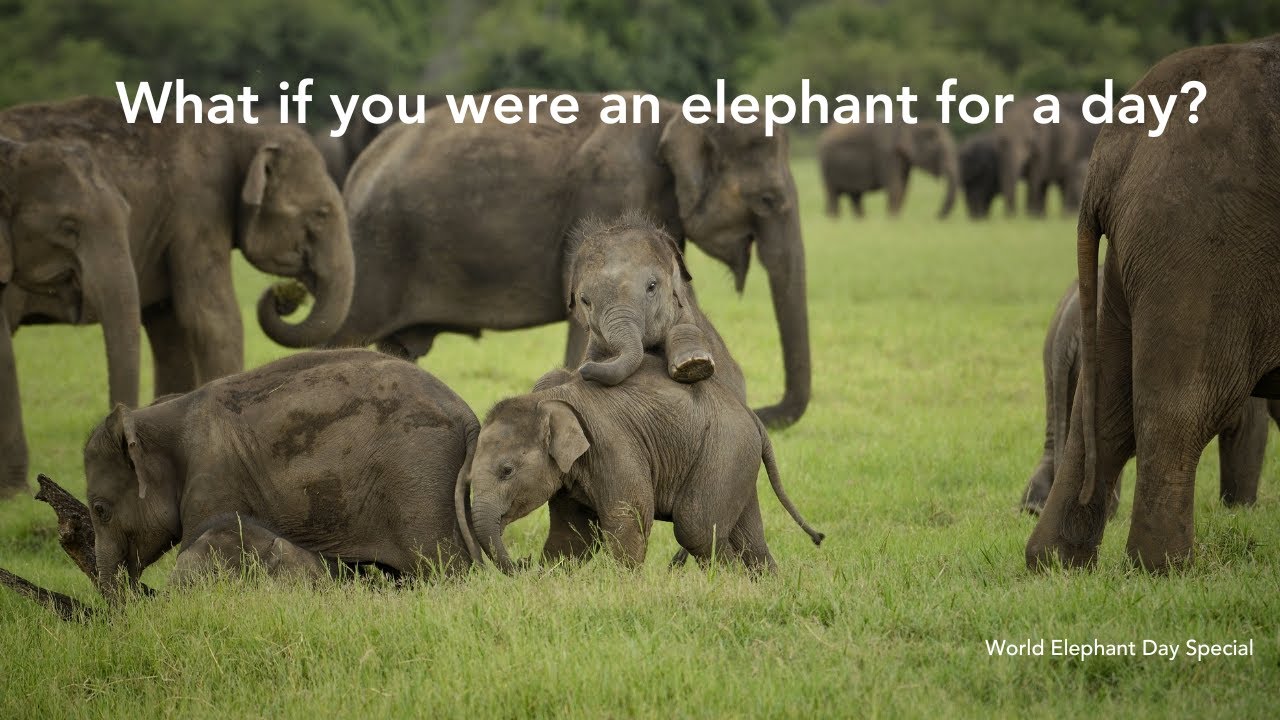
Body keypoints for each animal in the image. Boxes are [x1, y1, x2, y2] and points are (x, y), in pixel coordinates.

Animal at [0, 96, 355, 496]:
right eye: (321, 213)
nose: (283, 296)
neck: (242, 128)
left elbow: (169, 327)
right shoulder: (198, 208)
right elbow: (213, 319)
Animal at [456, 354, 825, 574]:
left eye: (507, 471)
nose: (525, 562)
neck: (548, 400)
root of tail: (752, 417)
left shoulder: (611, 444)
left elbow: (627, 516)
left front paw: (625, 585)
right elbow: (572, 534)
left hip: (724, 448)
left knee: (697, 528)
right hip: (737, 458)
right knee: (749, 538)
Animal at [818, 120, 959, 219]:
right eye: (940, 150)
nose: (936, 215)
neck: (914, 125)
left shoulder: (903, 160)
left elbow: (904, 188)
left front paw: (896, 219)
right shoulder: (887, 154)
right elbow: (895, 186)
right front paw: (892, 220)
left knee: (855, 196)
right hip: (827, 167)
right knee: (834, 195)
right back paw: (835, 219)